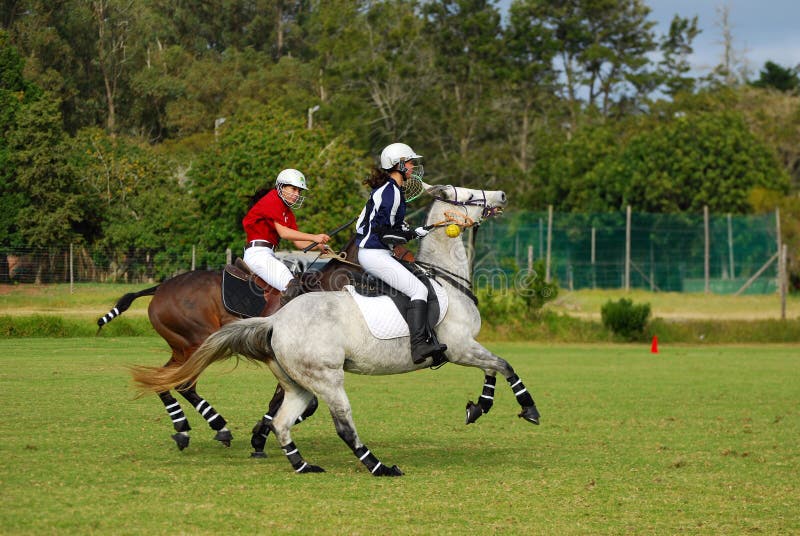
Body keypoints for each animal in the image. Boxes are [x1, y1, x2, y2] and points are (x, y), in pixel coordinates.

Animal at [97, 235, 364, 452]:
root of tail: (160, 287)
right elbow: (294, 402)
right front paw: (260, 434)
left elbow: (296, 403)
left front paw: (262, 432)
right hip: (197, 343)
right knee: (182, 383)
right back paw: (219, 427)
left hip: (181, 347)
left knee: (163, 379)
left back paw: (183, 429)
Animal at [131, 182, 541, 476]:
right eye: (470, 196)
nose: (502, 195)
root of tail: (275, 320)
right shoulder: (458, 347)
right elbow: (504, 365)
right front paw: (527, 408)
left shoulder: (465, 347)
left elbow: (493, 369)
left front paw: (478, 407)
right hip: (315, 374)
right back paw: (377, 466)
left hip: (277, 372)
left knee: (266, 411)